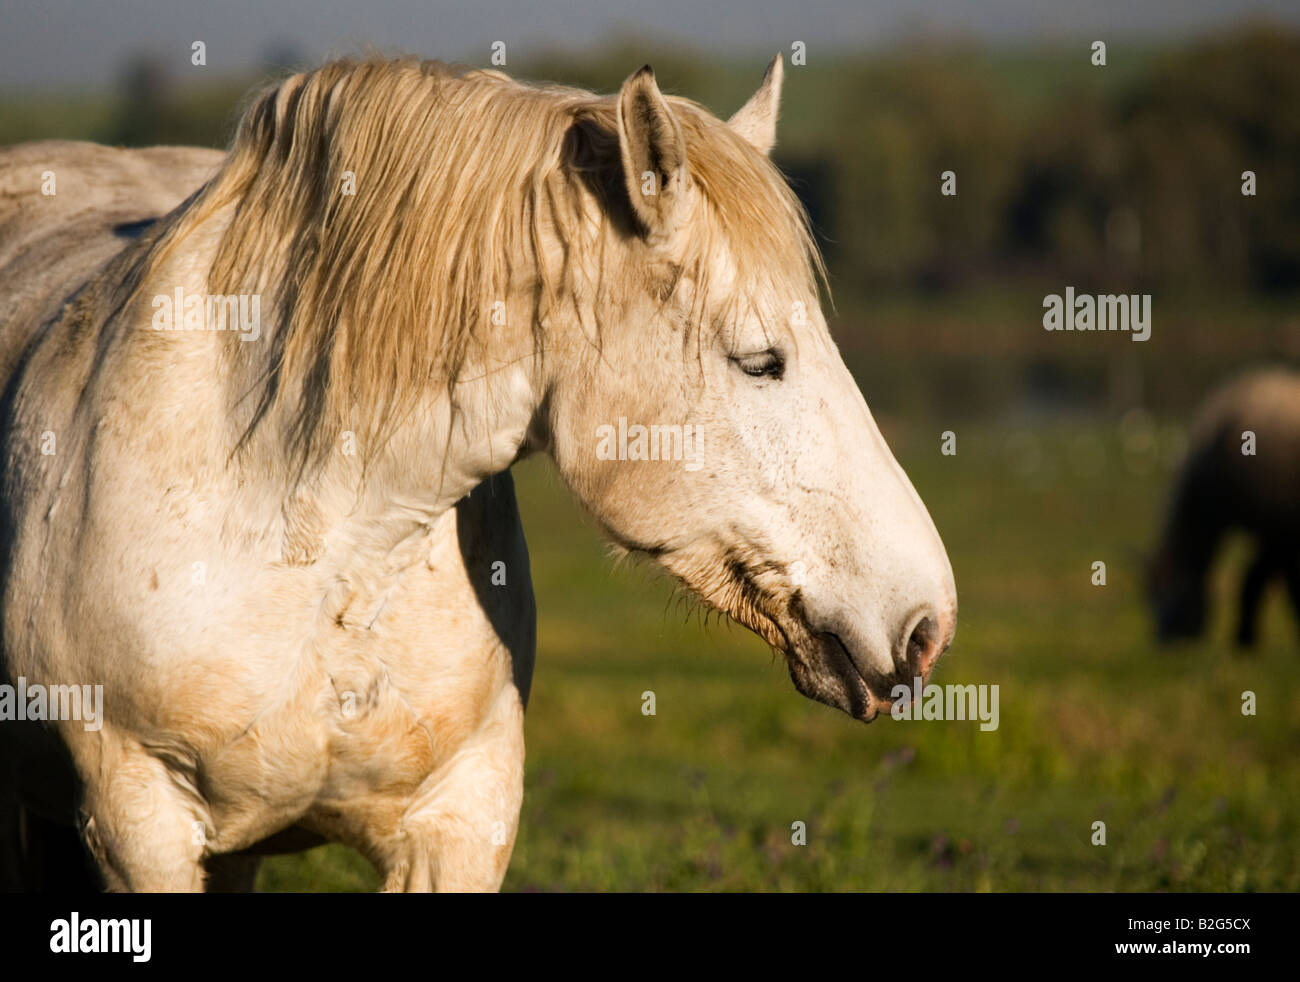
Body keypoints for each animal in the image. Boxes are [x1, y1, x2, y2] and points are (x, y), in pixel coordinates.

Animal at [1148, 367, 1300, 647]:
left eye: (1164, 587)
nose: (1162, 639)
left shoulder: (1277, 532)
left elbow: (1255, 581)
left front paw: (1245, 641)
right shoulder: (1277, 537)